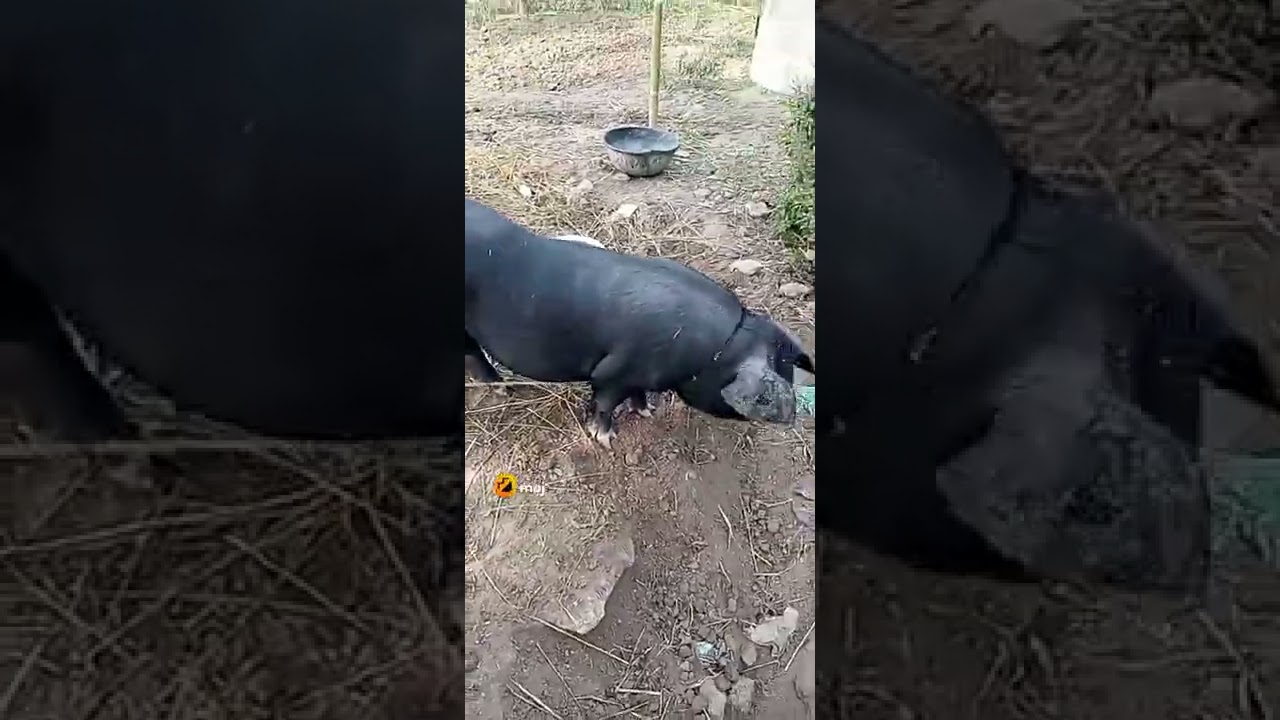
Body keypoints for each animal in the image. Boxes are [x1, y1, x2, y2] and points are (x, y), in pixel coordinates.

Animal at [465, 199, 814, 449]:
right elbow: (605, 403)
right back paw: (503, 389)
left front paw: (647, 412)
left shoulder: (638, 376)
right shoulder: (611, 372)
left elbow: (637, 393)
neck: (711, 353)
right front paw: (606, 440)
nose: (787, 419)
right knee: (473, 354)